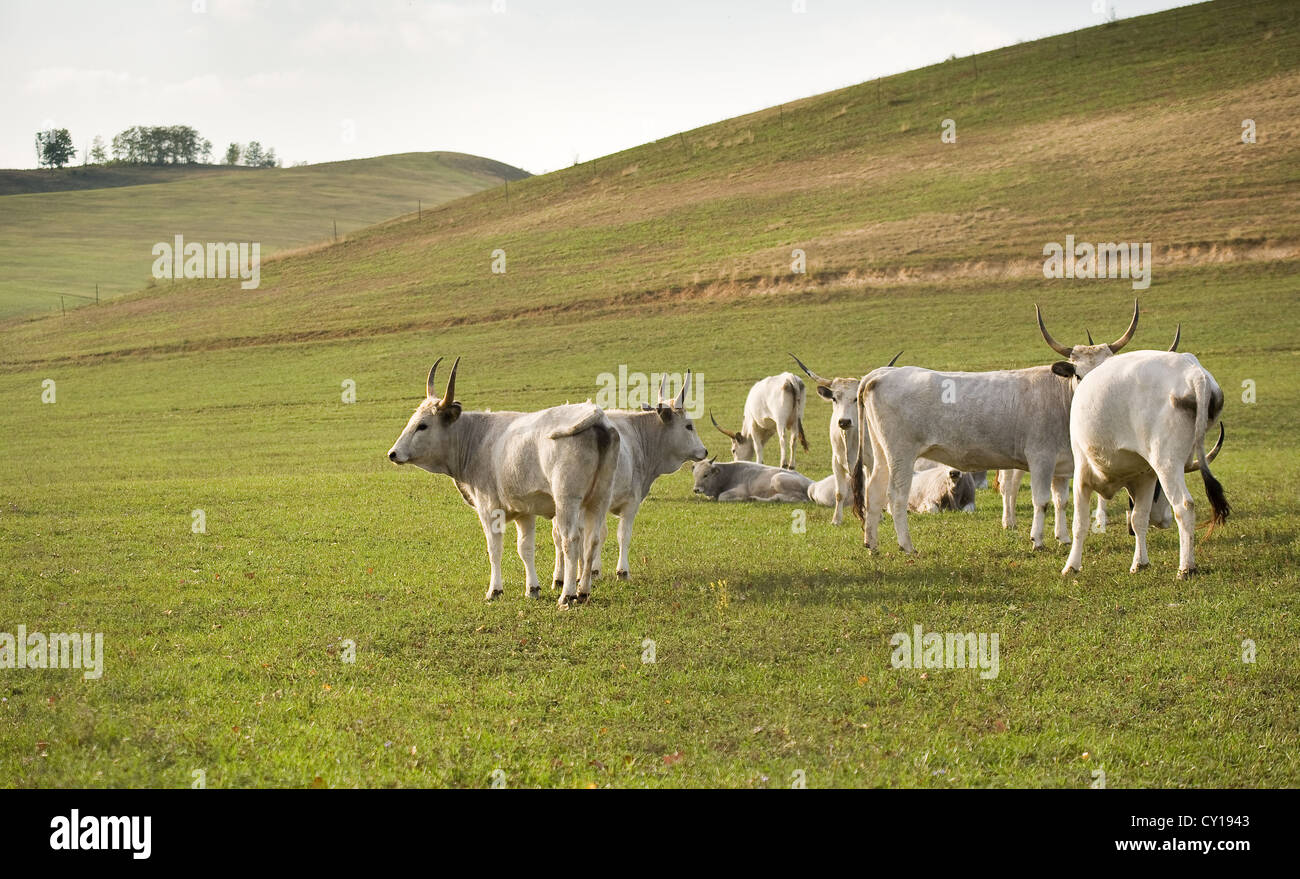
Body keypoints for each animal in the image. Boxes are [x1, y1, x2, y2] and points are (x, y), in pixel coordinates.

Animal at [387, 357, 620, 607]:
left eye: (423, 425)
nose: (393, 453)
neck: (477, 438)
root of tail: (595, 414)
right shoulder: (525, 510)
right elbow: (525, 548)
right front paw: (532, 588)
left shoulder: (489, 508)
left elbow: (494, 549)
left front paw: (495, 590)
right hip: (599, 498)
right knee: (592, 540)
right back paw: (583, 591)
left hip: (567, 500)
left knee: (571, 541)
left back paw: (567, 594)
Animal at [549, 372, 707, 586]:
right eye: (689, 426)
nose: (704, 451)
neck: (639, 438)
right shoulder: (630, 502)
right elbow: (623, 535)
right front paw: (621, 571)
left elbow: (599, 533)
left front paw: (594, 569)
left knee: (559, 535)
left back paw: (559, 577)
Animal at [790, 352, 900, 525]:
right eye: (834, 398)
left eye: (855, 399)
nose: (844, 421)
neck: (849, 439)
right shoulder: (836, 461)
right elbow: (840, 492)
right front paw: (836, 519)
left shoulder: (869, 462)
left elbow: (869, 489)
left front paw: (874, 517)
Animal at [852, 302, 1141, 554]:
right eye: (1078, 375)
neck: (1059, 396)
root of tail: (881, 374)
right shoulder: (1041, 459)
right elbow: (1042, 501)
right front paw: (1037, 540)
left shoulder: (1061, 464)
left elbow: (1061, 500)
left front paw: (1063, 538)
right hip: (901, 453)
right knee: (896, 495)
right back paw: (907, 546)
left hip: (882, 454)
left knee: (874, 491)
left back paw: (872, 545)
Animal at [1061, 350, 1230, 579]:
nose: (1163, 521)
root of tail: (1194, 373)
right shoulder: (1145, 478)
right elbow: (1138, 519)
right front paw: (1140, 562)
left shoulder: (1081, 476)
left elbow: (1080, 523)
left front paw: (1071, 565)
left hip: (1166, 463)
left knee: (1184, 506)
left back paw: (1186, 567)